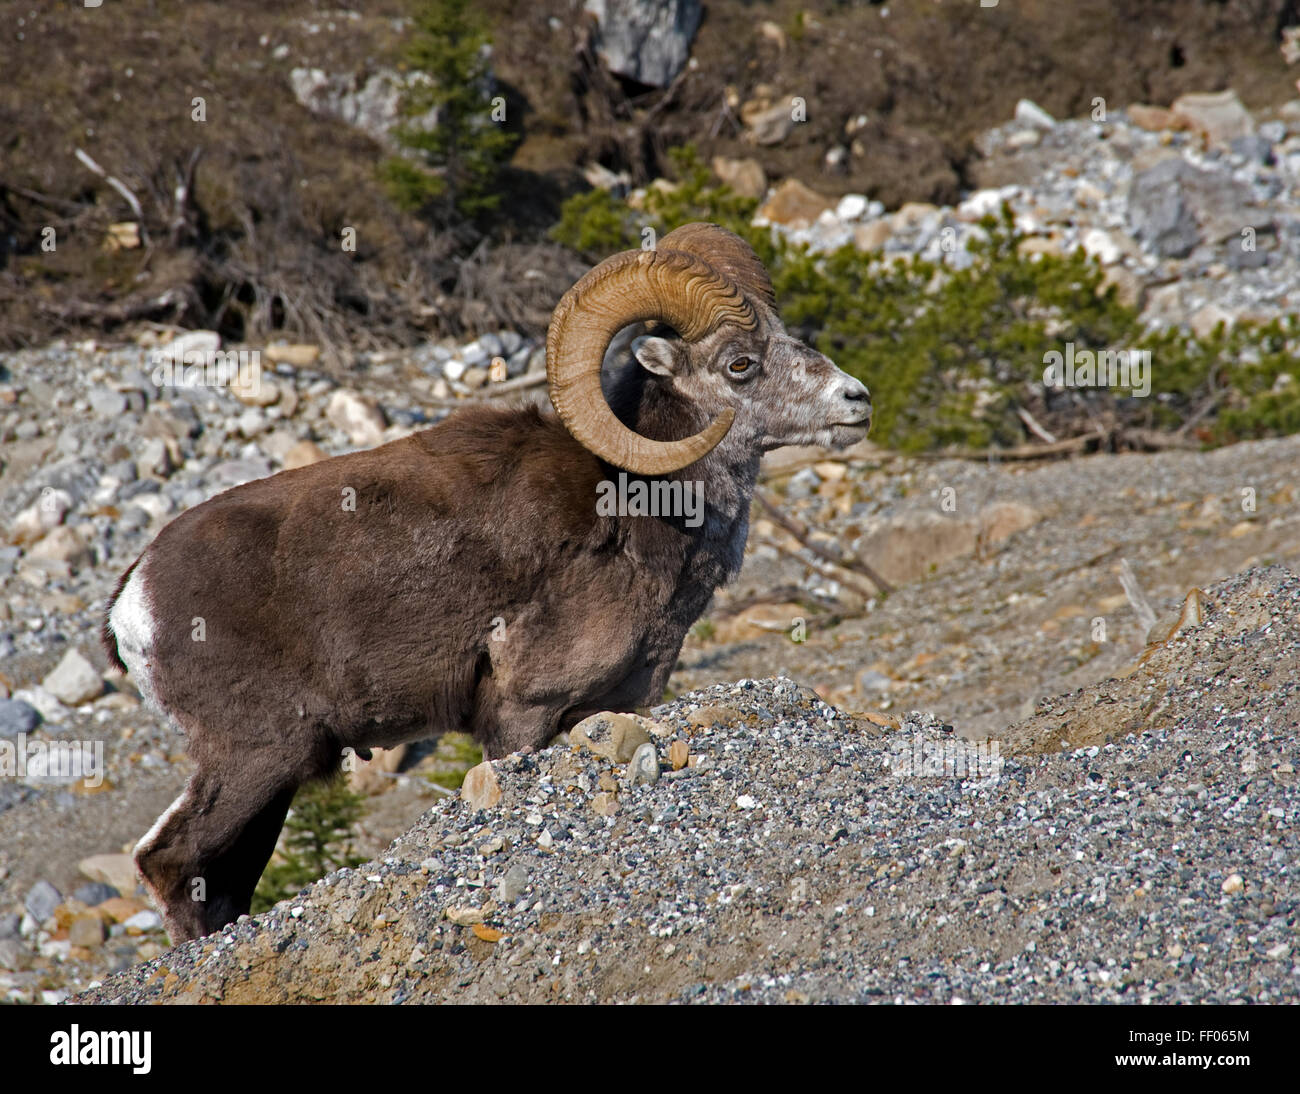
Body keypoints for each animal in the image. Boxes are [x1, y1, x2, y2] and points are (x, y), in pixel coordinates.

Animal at [102, 223, 872, 941]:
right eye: (741, 364)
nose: (857, 399)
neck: (636, 513)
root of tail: (132, 605)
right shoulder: (523, 712)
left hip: (273, 780)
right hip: (257, 757)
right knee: (170, 861)